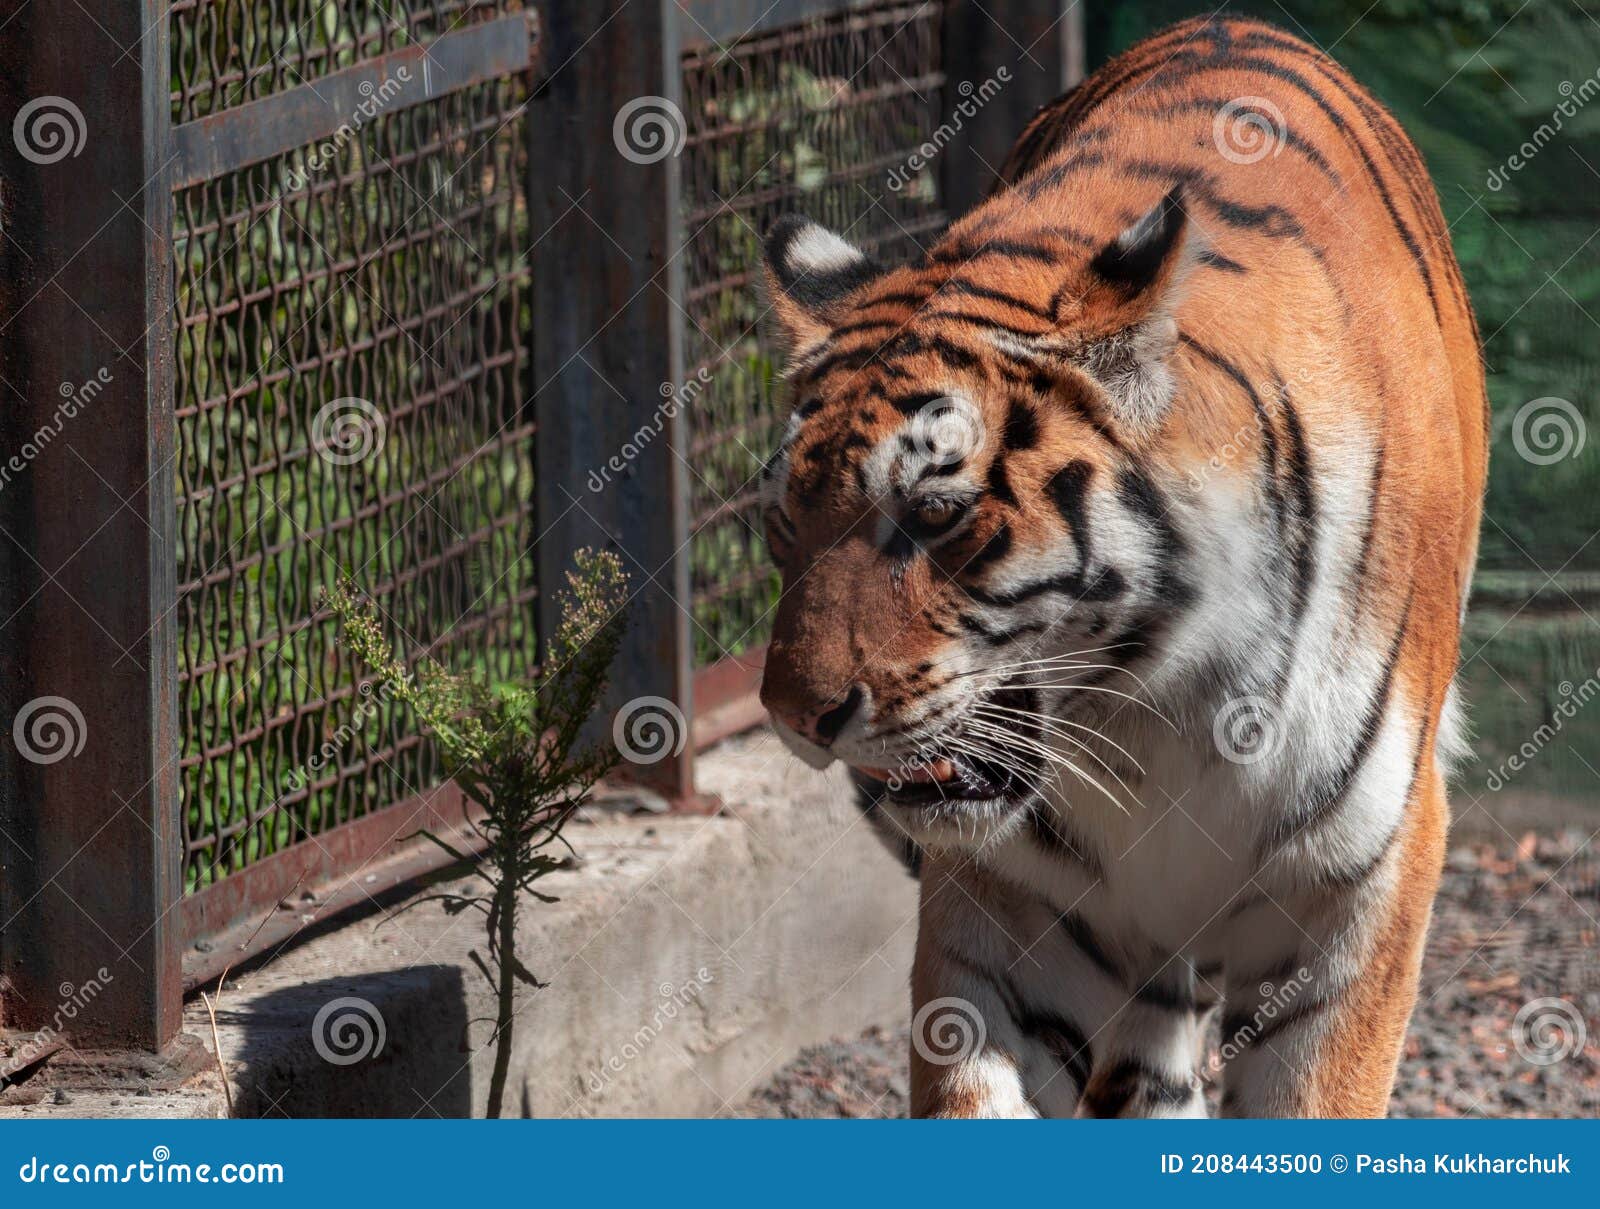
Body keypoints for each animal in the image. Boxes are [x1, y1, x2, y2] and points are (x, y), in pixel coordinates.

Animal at [752, 15, 1487, 1118]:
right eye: (780, 526)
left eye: (937, 514)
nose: (798, 719)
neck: (1156, 713)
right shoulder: (1010, 906)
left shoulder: (1360, 886)